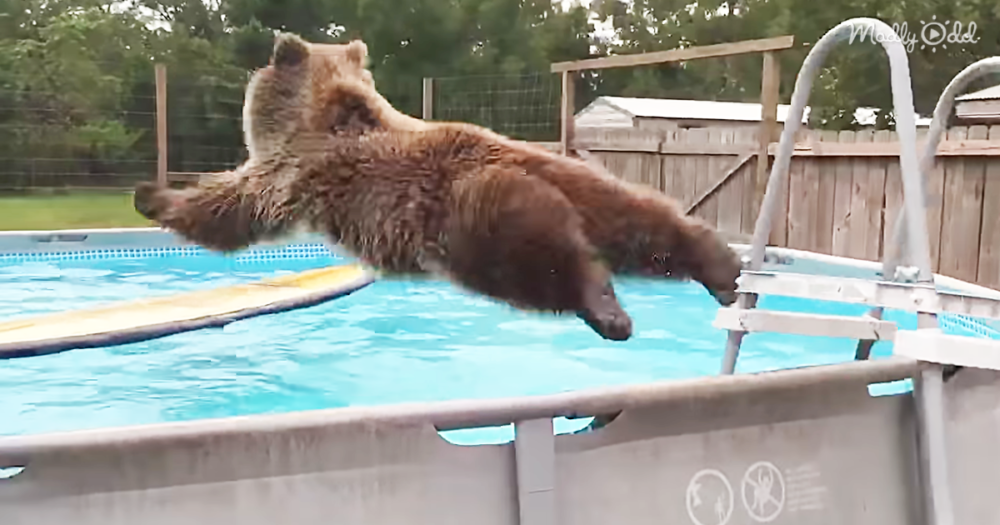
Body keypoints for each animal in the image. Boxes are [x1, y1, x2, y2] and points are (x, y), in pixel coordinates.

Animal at [134, 33, 742, 342]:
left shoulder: (289, 171)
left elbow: (229, 209)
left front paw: (152, 195)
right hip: (588, 186)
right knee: (646, 225)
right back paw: (722, 269)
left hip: (472, 221)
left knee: (544, 267)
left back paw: (607, 312)